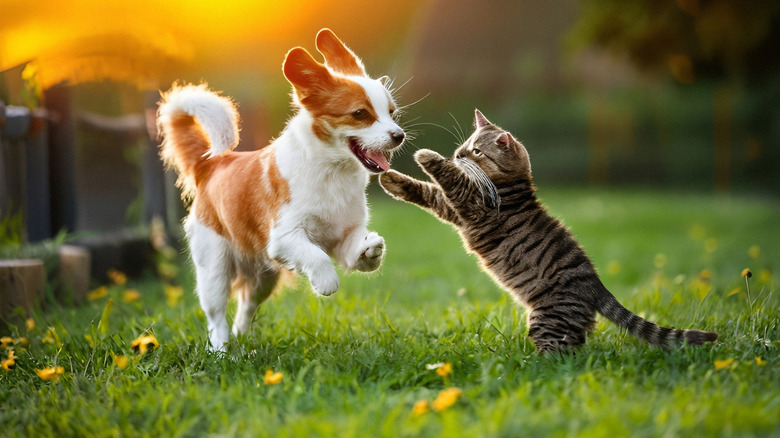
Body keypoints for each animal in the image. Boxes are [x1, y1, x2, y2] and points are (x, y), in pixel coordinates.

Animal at [156, 29, 406, 350]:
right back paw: (221, 352)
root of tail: (211, 164)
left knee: (245, 309)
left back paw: (243, 349)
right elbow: (317, 257)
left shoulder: (343, 237)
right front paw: (326, 281)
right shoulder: (284, 238)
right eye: (360, 113)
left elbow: (355, 251)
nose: (399, 135)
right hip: (214, 269)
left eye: (392, 113)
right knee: (217, 320)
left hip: (263, 279)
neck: (332, 173)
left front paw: (371, 248)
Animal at [380, 111, 720, 354]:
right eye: (463, 147)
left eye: (475, 151)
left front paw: (426, 156)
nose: (457, 155)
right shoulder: (454, 209)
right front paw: (391, 180)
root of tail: (597, 286)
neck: (513, 185)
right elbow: (426, 191)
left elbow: (445, 177)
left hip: (549, 320)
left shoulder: (469, 201)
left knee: (560, 356)